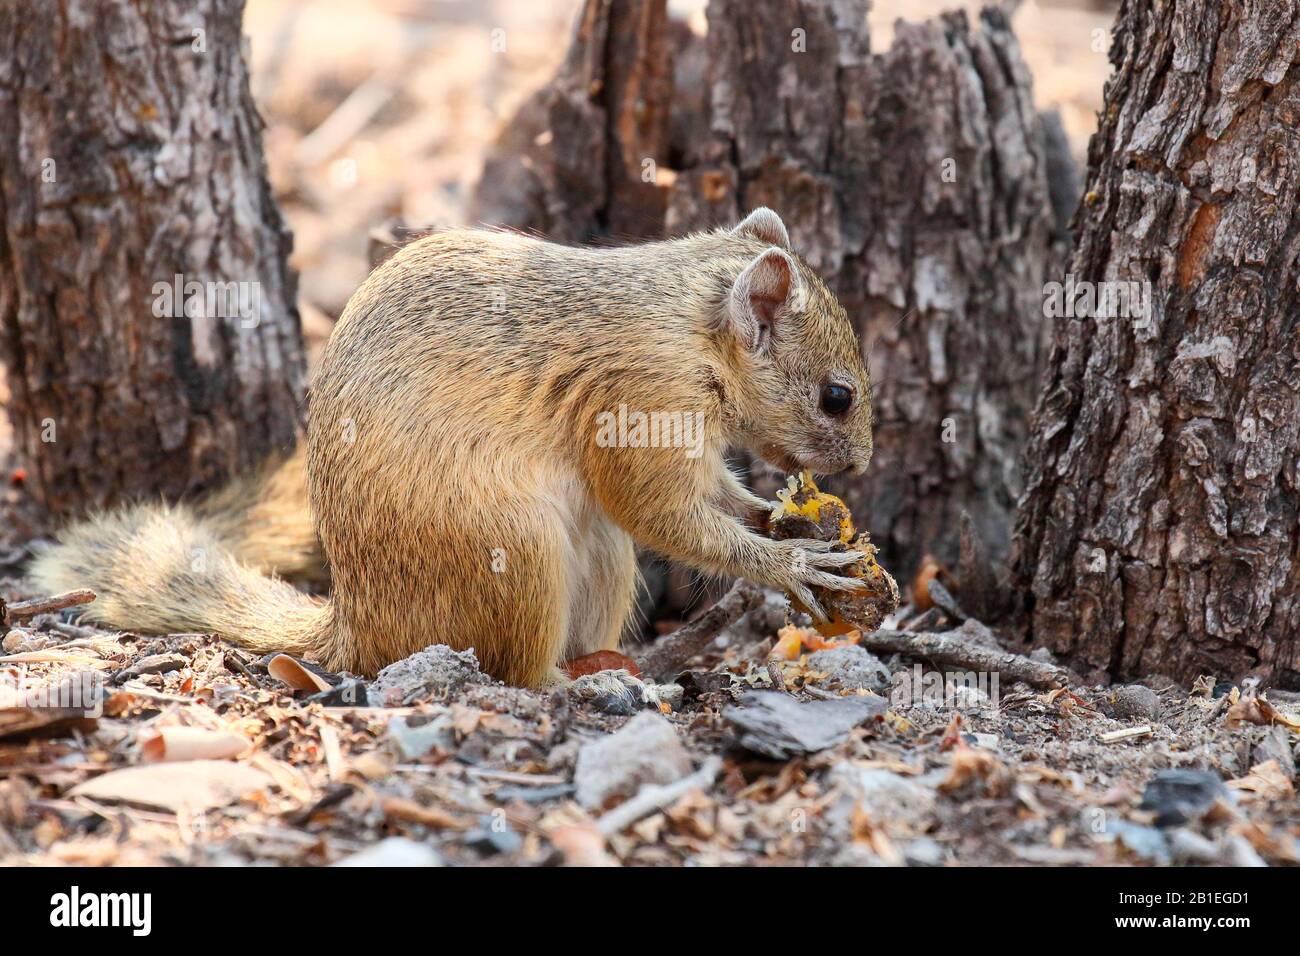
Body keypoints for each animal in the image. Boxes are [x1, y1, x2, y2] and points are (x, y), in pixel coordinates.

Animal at [29, 208, 875, 689]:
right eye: (837, 395)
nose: (862, 464)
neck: (688, 326)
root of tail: (360, 631)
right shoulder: (640, 404)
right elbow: (662, 514)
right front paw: (794, 566)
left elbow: (720, 499)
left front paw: (784, 520)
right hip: (518, 553)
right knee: (514, 673)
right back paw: (574, 686)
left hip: (596, 553)